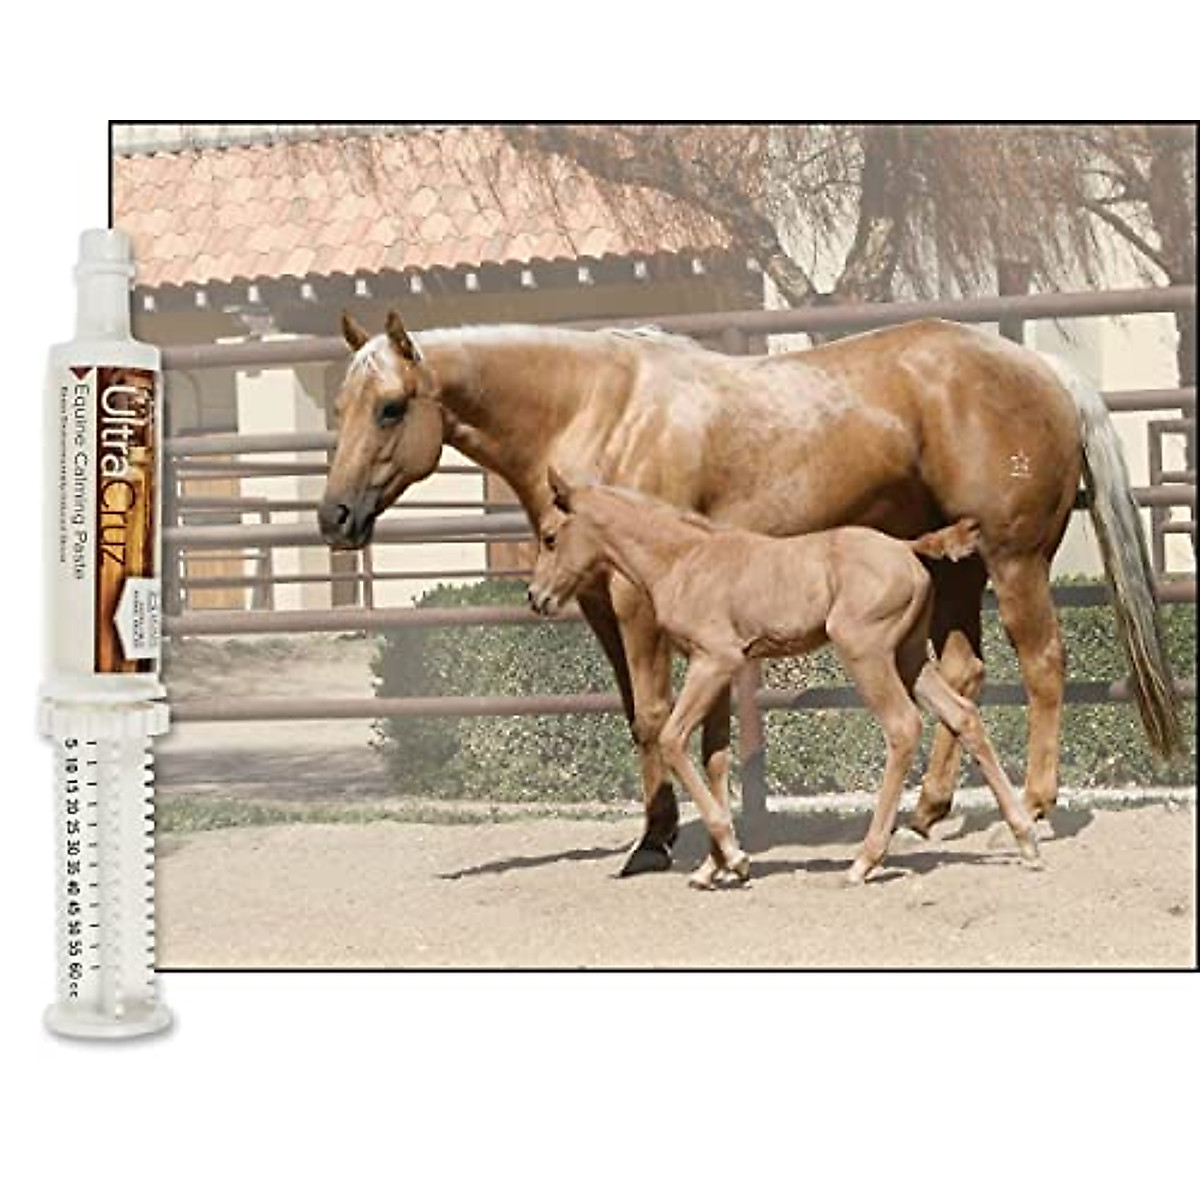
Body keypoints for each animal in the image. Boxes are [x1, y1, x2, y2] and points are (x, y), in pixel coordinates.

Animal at [529, 472, 1042, 888]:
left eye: (550, 537)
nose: (536, 597)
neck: (684, 559)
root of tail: (906, 547)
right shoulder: (720, 668)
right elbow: (715, 757)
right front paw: (712, 867)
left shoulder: (712, 661)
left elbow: (673, 740)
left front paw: (734, 859)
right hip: (909, 656)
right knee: (963, 715)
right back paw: (1026, 840)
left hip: (866, 652)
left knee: (902, 726)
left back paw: (865, 860)